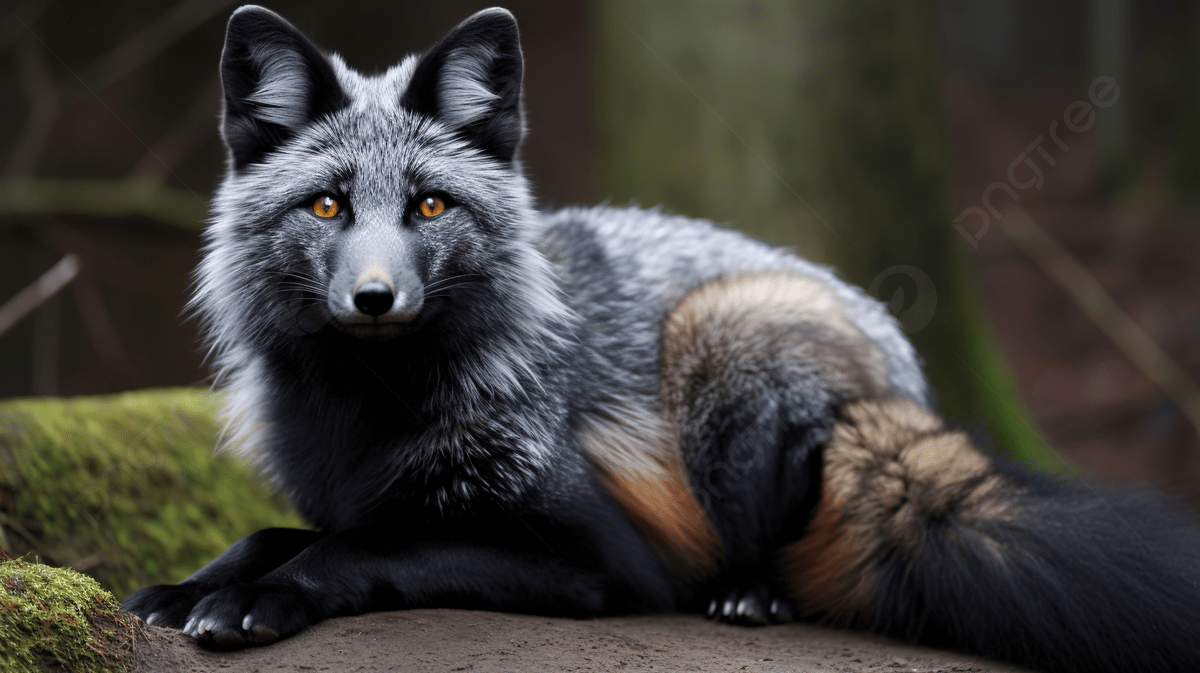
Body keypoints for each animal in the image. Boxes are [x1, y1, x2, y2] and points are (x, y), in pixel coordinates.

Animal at [123, 6, 1200, 673]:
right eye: (328, 205)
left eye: (428, 205)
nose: (376, 298)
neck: (369, 413)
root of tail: (900, 365)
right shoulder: (340, 495)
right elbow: (277, 531)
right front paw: (191, 586)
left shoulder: (597, 556)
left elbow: (360, 548)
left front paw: (261, 600)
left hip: (717, 339)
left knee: (778, 556)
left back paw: (747, 593)